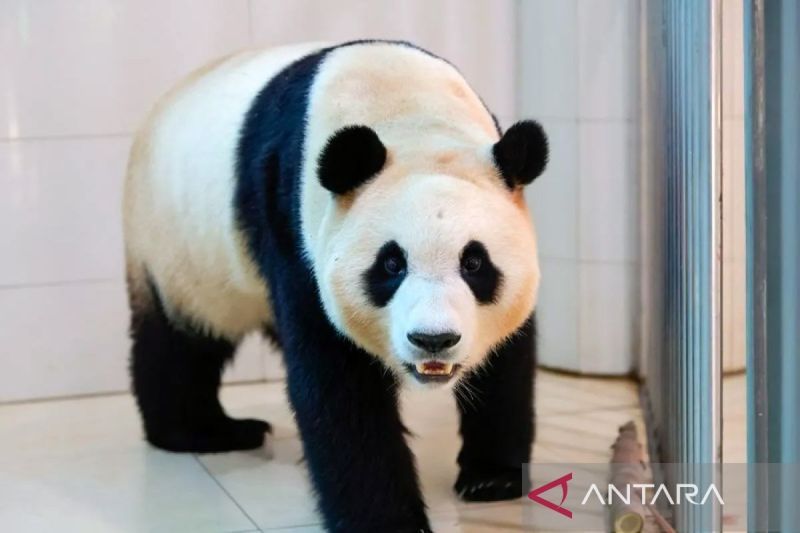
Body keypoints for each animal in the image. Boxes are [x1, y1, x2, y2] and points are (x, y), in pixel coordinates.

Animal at [123, 40, 547, 533]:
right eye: (391, 264)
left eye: (475, 263)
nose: (433, 340)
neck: (409, 112)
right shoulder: (296, 230)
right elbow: (337, 387)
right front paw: (387, 520)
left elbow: (507, 363)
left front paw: (492, 478)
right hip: (176, 248)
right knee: (180, 343)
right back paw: (206, 431)